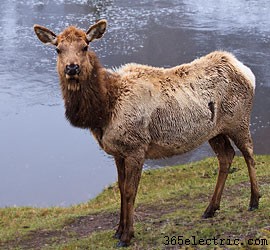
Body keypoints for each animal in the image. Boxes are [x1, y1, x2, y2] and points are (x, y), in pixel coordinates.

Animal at [33, 19, 260, 246]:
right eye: (58, 49)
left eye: (85, 46)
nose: (72, 68)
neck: (104, 112)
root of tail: (246, 71)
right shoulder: (118, 152)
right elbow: (121, 188)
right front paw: (118, 230)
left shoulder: (136, 148)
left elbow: (131, 191)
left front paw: (127, 236)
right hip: (214, 132)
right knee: (226, 156)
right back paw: (211, 208)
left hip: (239, 120)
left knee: (249, 153)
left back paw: (254, 200)